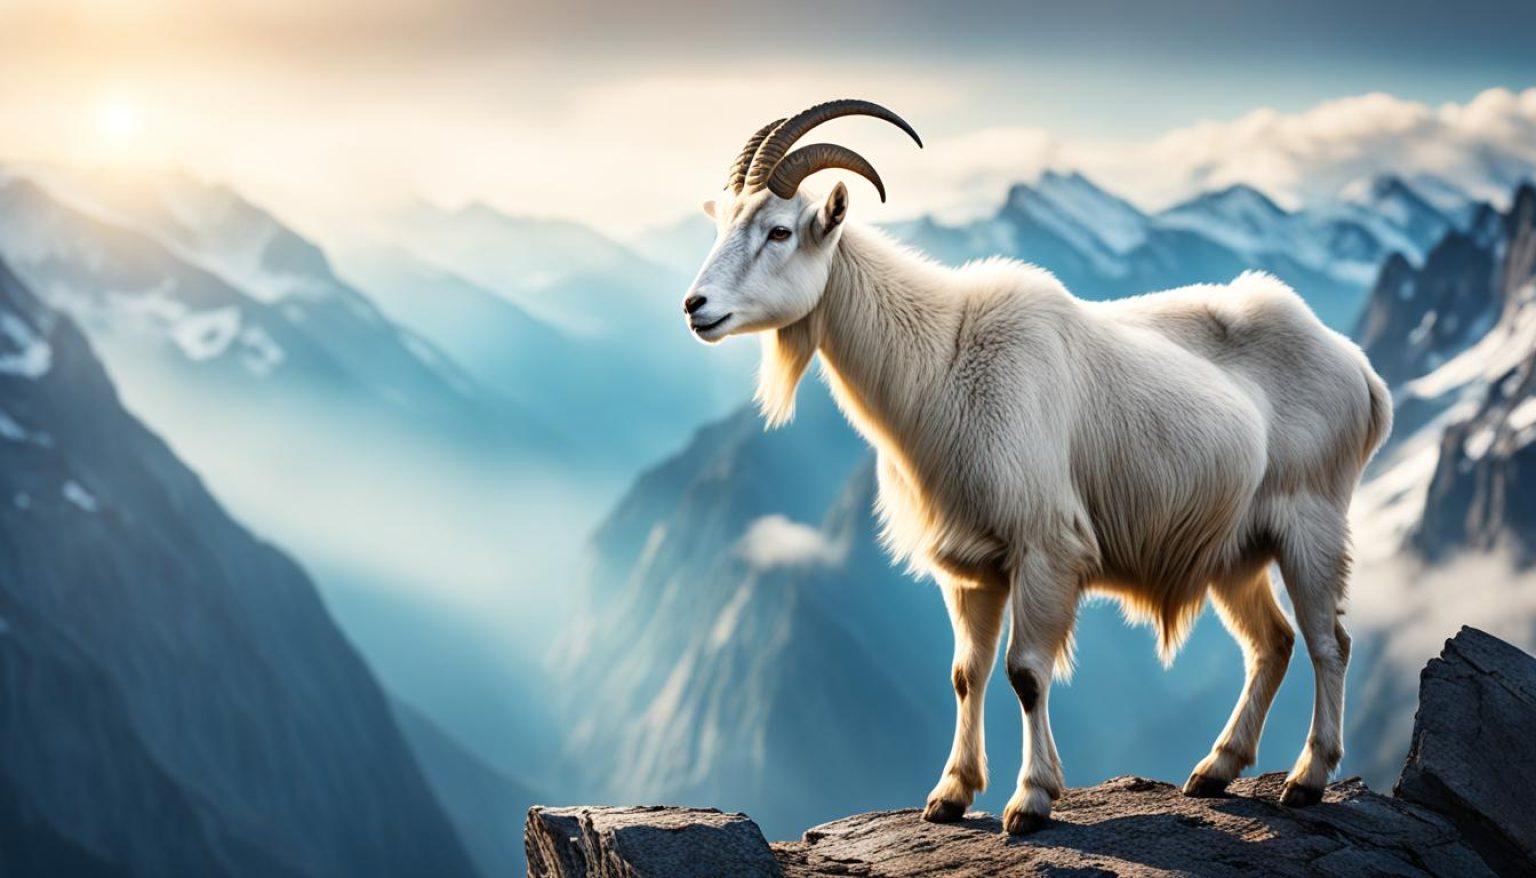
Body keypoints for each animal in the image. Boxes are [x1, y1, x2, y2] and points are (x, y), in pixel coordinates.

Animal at [683, 100, 1392, 834]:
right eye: (723, 221)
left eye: (780, 230)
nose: (695, 307)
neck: (944, 359)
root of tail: (1360, 372)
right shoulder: (970, 566)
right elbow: (966, 674)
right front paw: (950, 795)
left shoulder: (1046, 547)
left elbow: (1025, 671)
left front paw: (1030, 800)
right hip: (1233, 551)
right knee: (1271, 643)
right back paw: (1214, 770)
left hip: (1312, 524)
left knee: (1328, 641)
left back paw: (1307, 779)